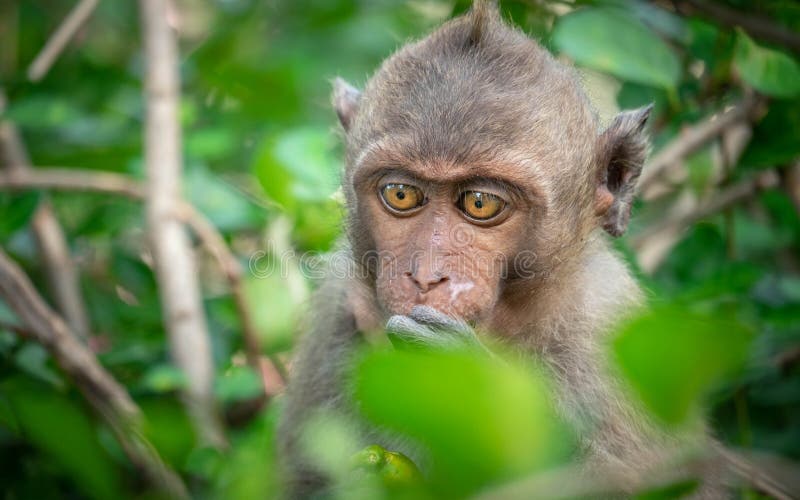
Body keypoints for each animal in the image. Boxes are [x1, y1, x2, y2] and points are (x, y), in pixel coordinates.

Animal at [277, 2, 723, 498]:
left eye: (480, 202)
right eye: (401, 194)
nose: (427, 275)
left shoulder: (609, 331)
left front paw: (472, 386)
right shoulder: (337, 313)